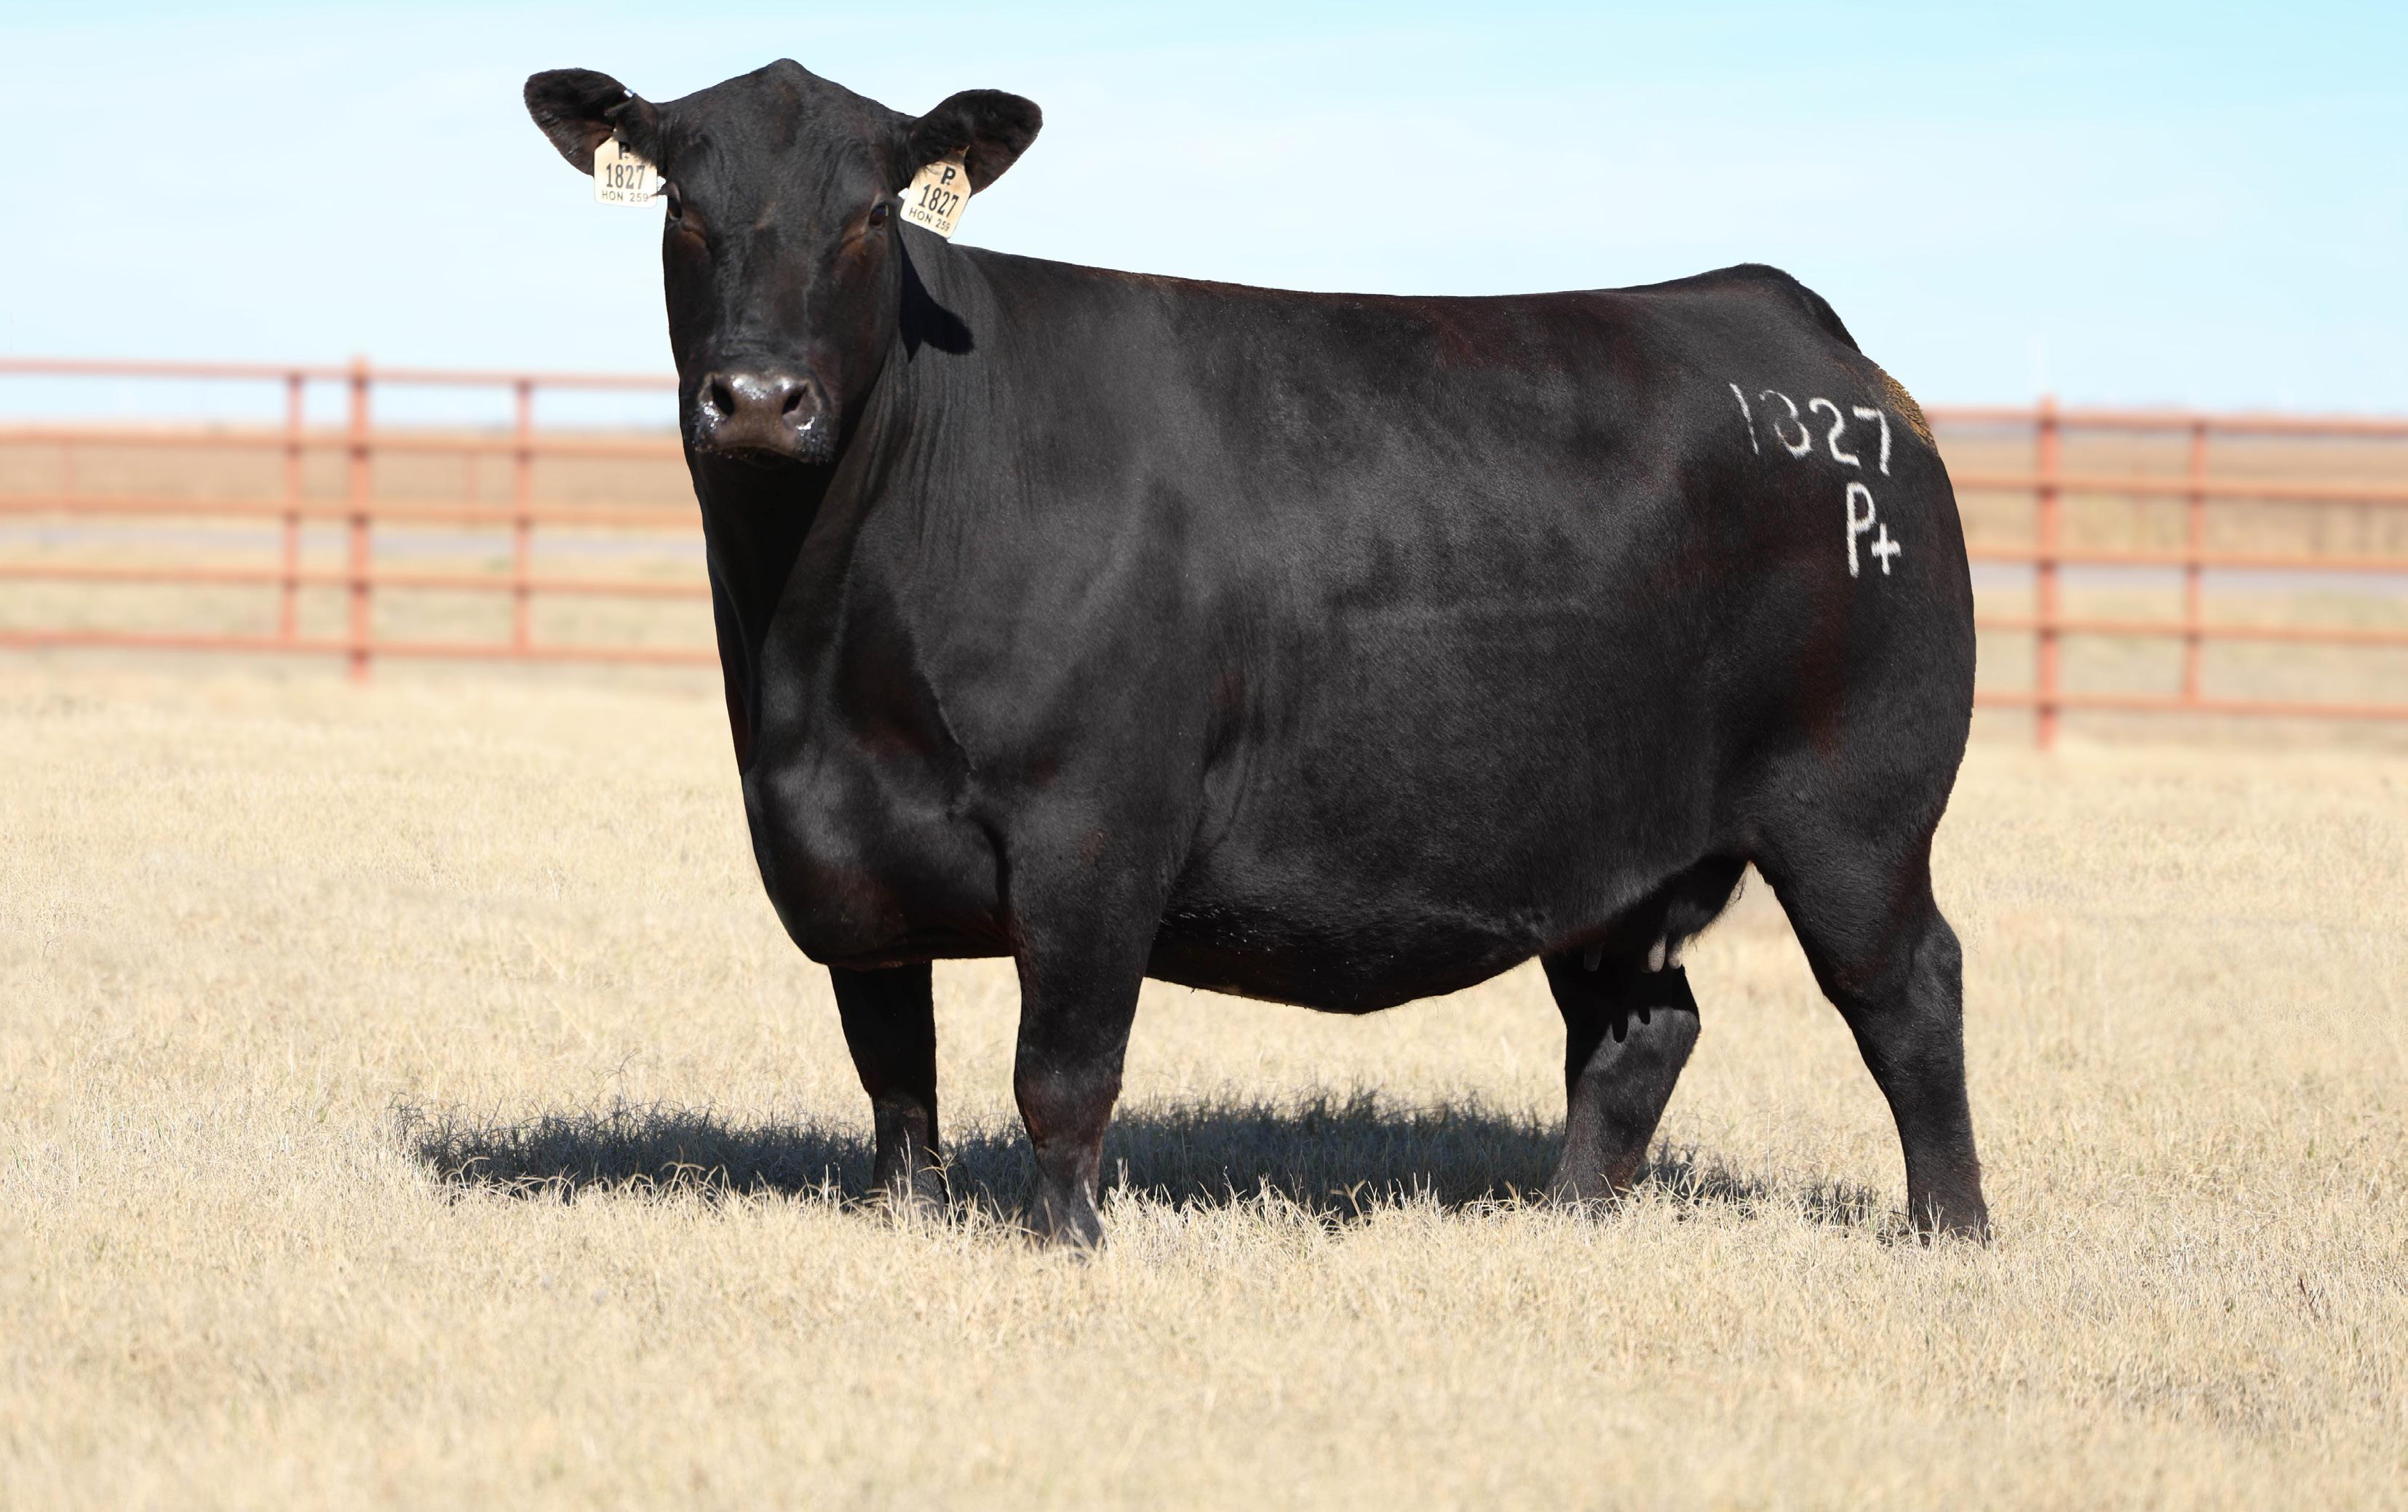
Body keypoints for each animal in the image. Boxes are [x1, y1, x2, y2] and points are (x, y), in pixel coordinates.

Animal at [523, 59, 1989, 1247]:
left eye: (872, 214)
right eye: (682, 206)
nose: (760, 400)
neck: (815, 656)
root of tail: (1789, 327)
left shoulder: (1094, 830)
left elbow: (1062, 1068)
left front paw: (1062, 1242)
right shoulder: (845, 853)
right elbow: (894, 1073)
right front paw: (907, 1222)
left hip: (1854, 808)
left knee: (1904, 987)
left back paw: (1948, 1230)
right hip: (1604, 836)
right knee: (1636, 1023)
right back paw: (1566, 1217)